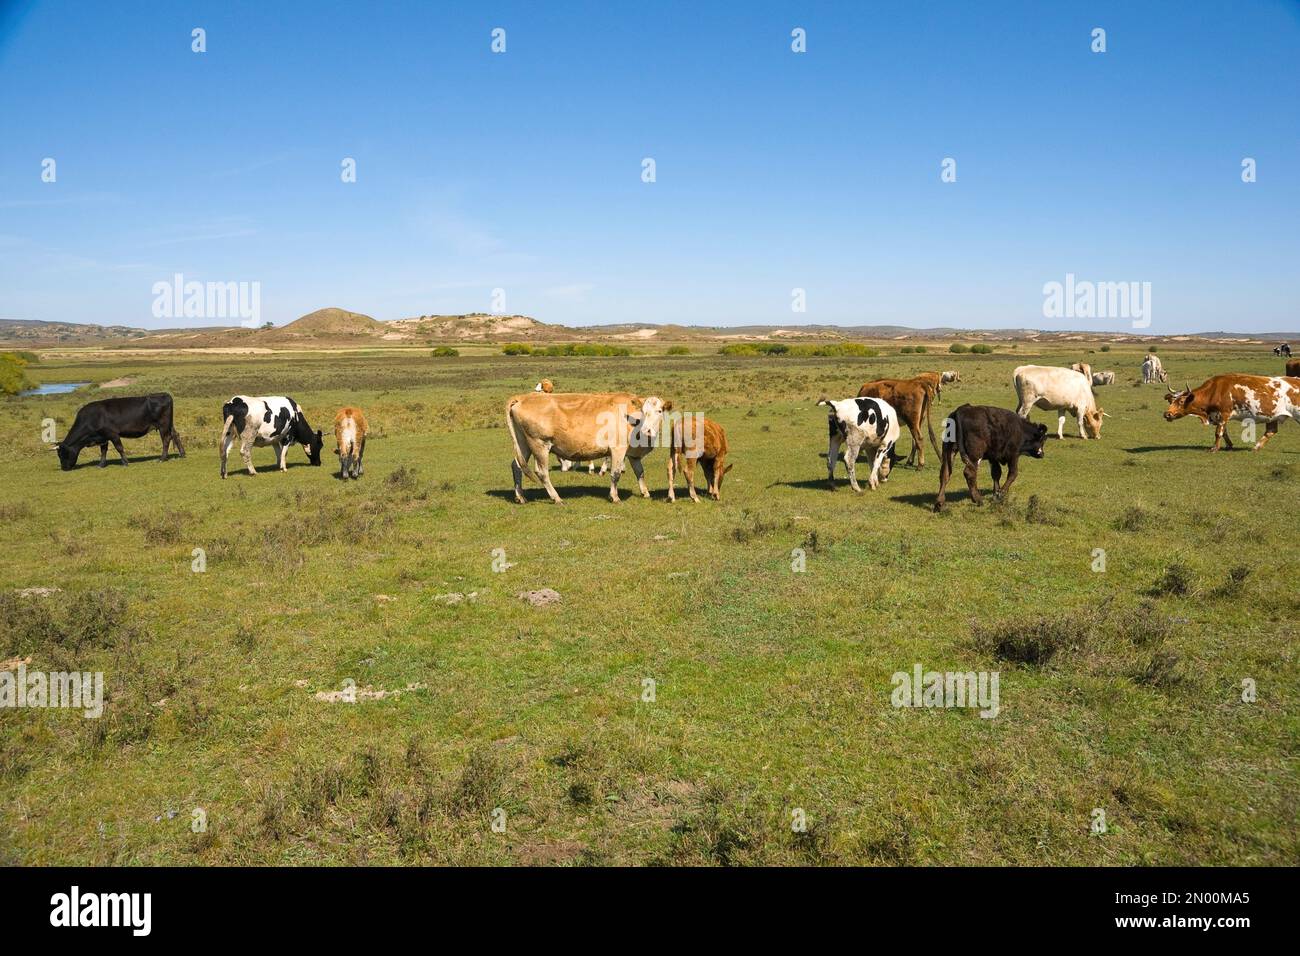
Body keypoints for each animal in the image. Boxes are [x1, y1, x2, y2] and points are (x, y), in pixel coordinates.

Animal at [54, 393, 184, 470]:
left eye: (62, 454)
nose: (64, 468)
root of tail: (164, 394)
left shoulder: (112, 434)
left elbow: (119, 448)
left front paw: (125, 462)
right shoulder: (103, 437)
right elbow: (103, 451)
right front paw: (101, 465)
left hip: (163, 425)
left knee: (166, 439)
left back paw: (162, 458)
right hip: (169, 425)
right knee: (175, 435)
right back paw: (182, 454)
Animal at [507, 391, 672, 503]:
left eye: (659, 411)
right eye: (644, 412)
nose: (647, 430)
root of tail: (523, 397)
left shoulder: (633, 454)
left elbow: (640, 473)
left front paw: (645, 493)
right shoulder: (618, 450)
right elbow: (616, 473)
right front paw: (614, 497)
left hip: (523, 444)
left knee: (517, 466)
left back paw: (520, 497)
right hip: (539, 444)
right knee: (542, 472)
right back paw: (556, 498)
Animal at [1163, 374, 1300, 452]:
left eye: (1181, 401)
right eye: (1171, 401)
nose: (1167, 414)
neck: (1214, 391)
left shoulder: (1224, 413)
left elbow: (1218, 432)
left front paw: (1214, 448)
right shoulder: (1218, 416)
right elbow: (1224, 432)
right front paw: (1229, 445)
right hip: (1272, 417)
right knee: (1271, 431)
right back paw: (1256, 447)